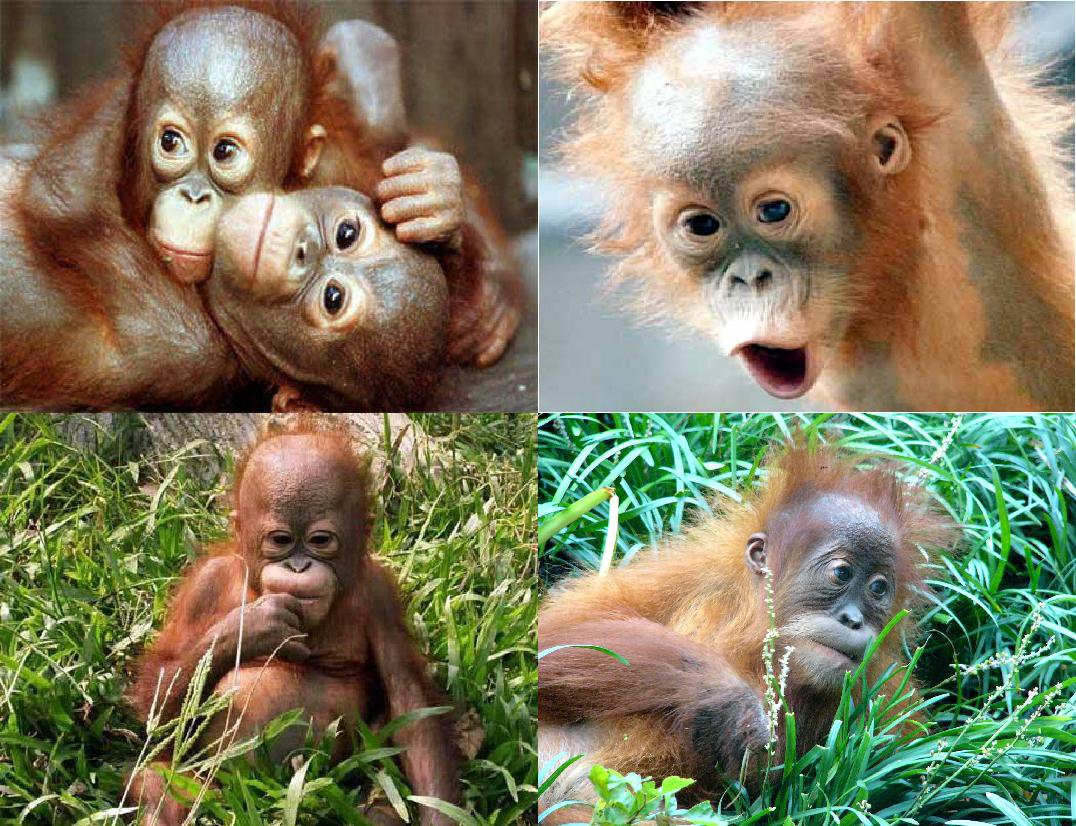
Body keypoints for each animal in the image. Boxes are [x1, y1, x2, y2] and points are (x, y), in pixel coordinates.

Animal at [128, 424, 460, 826]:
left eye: (320, 540)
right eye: (281, 540)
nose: (298, 566)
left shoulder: (381, 595)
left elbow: (409, 700)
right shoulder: (204, 585)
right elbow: (157, 709)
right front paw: (253, 627)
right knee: (155, 780)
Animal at [537, 439, 960, 823]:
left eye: (878, 589)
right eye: (841, 573)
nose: (853, 620)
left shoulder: (890, 695)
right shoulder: (690, 573)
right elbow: (558, 634)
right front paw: (729, 703)